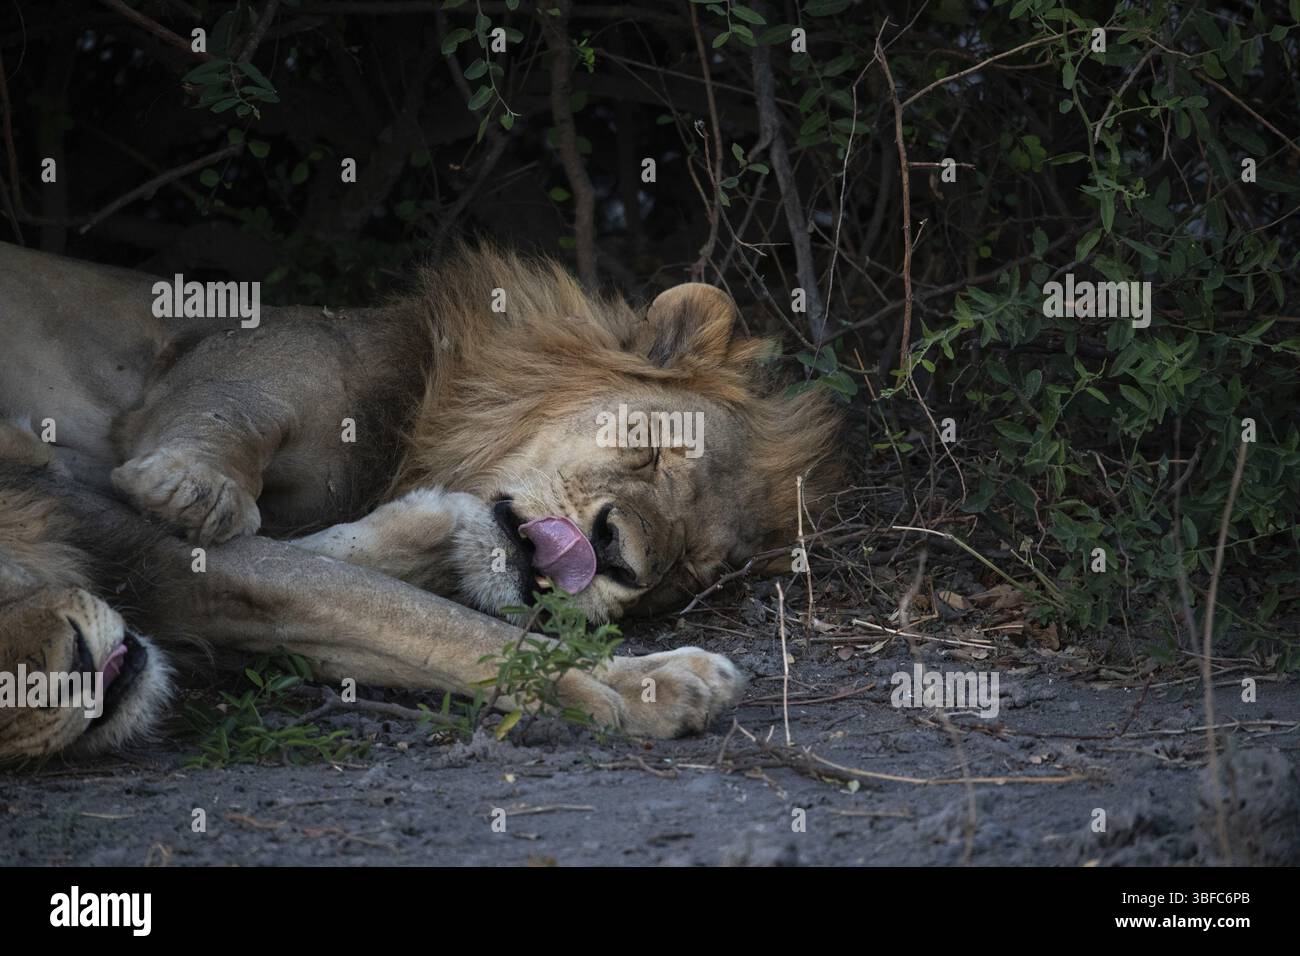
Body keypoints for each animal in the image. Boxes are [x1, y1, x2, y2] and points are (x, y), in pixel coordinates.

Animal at [0, 241, 837, 760]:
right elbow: (230, 410)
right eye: (652, 447)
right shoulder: (232, 349)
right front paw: (192, 486)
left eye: (684, 570)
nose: (618, 556)